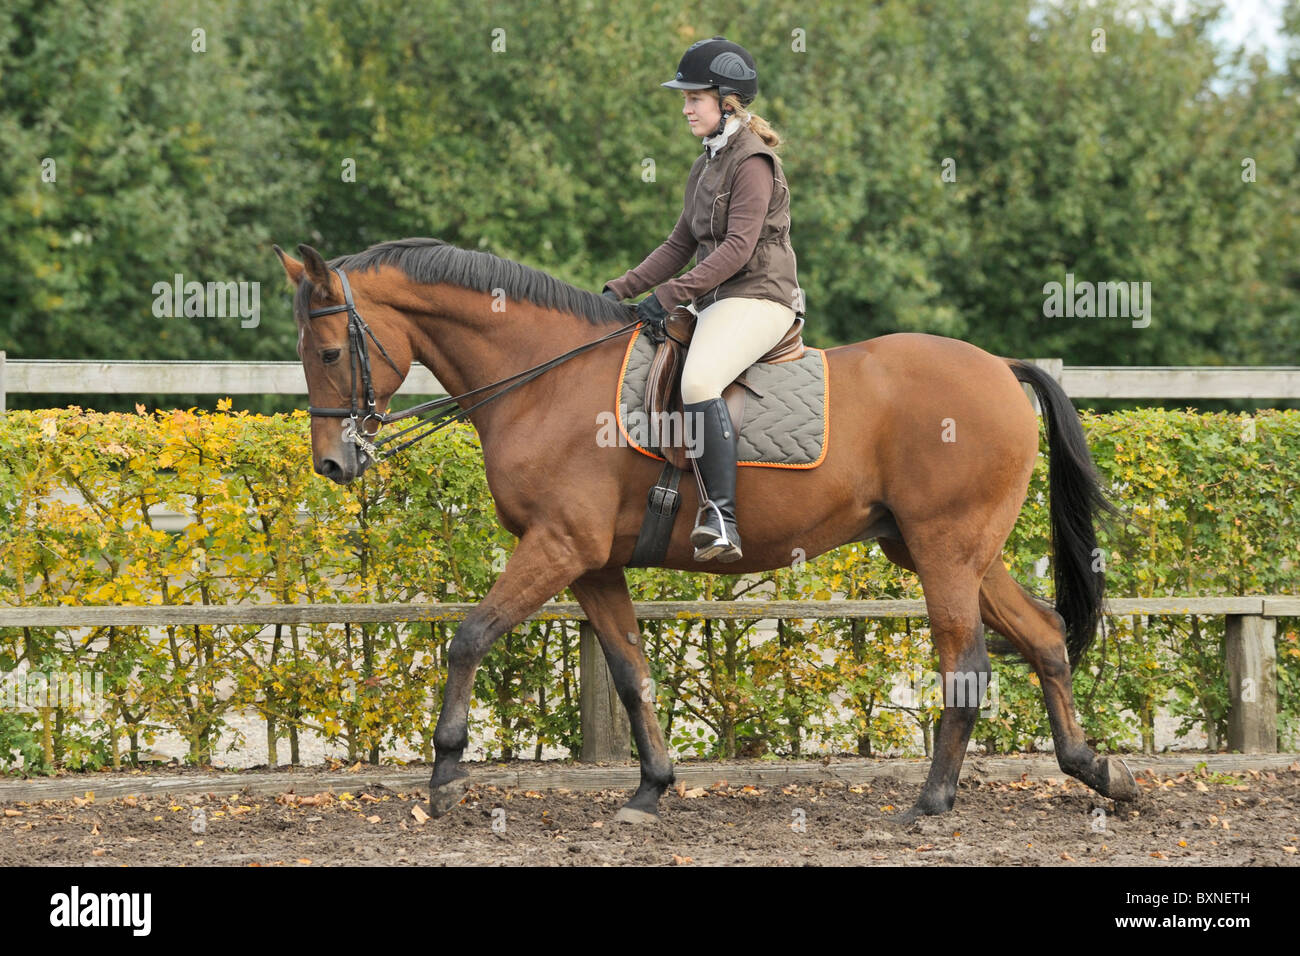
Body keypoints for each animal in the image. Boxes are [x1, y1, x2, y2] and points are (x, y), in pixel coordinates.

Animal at [274, 236, 1138, 825]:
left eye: (329, 350)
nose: (332, 464)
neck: (546, 378)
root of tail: (999, 368)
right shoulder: (593, 565)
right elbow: (630, 672)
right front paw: (650, 790)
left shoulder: (558, 546)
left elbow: (469, 637)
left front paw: (448, 774)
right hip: (951, 551)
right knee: (1044, 637)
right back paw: (1098, 772)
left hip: (944, 553)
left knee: (966, 664)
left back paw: (932, 801)